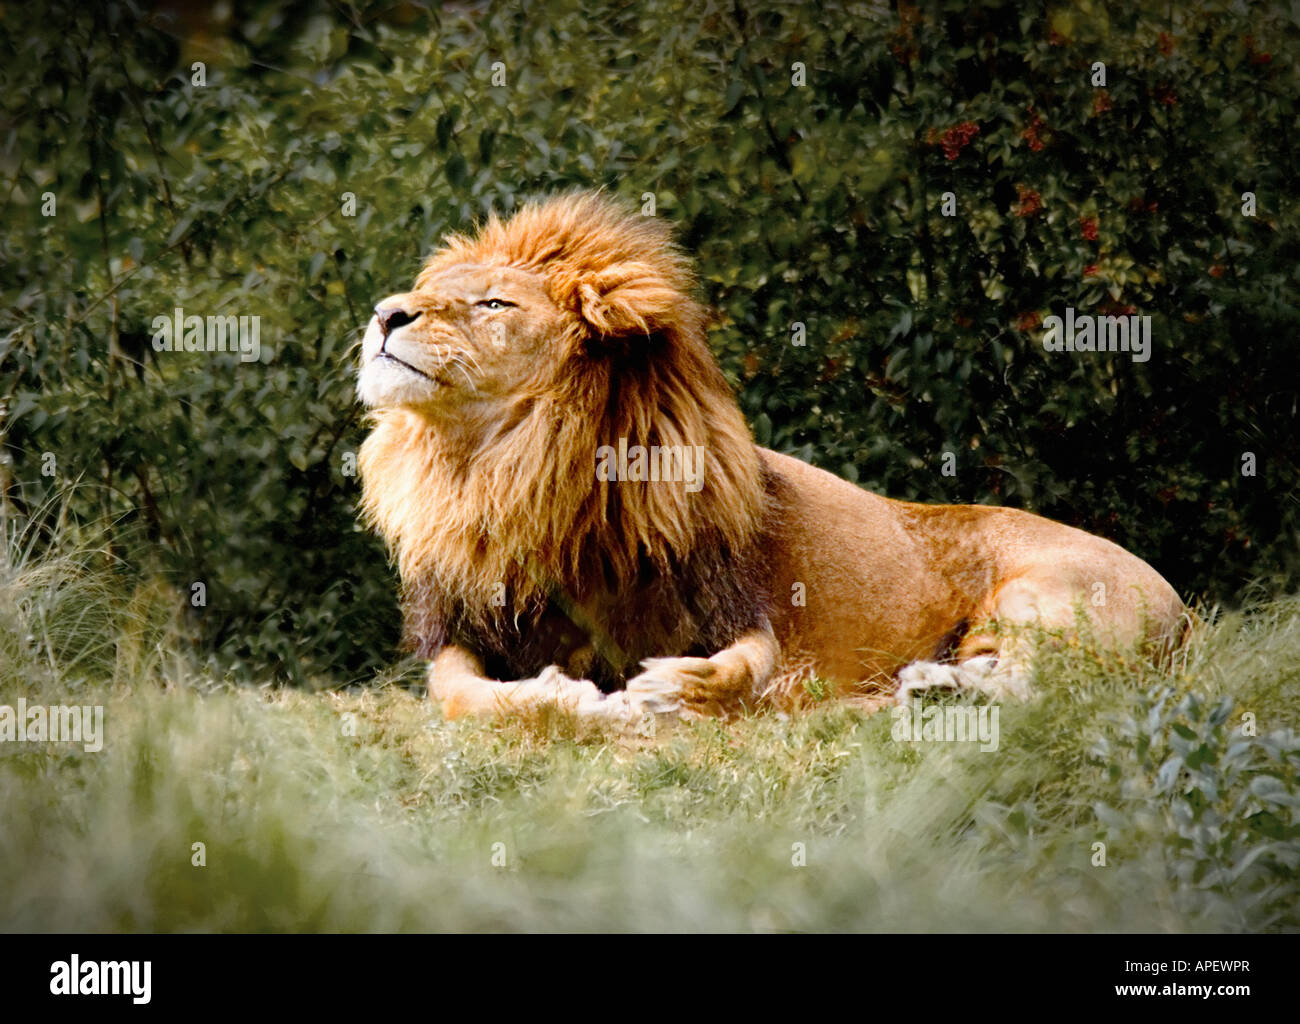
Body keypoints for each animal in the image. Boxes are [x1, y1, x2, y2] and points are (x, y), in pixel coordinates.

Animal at [356, 190, 1185, 725]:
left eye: (495, 303)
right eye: (433, 292)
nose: (384, 314)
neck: (502, 467)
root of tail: (1182, 611)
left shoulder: (735, 601)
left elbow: (747, 666)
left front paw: (676, 689)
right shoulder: (462, 631)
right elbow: (461, 693)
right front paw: (554, 697)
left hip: (1044, 596)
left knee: (1062, 681)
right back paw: (931, 685)